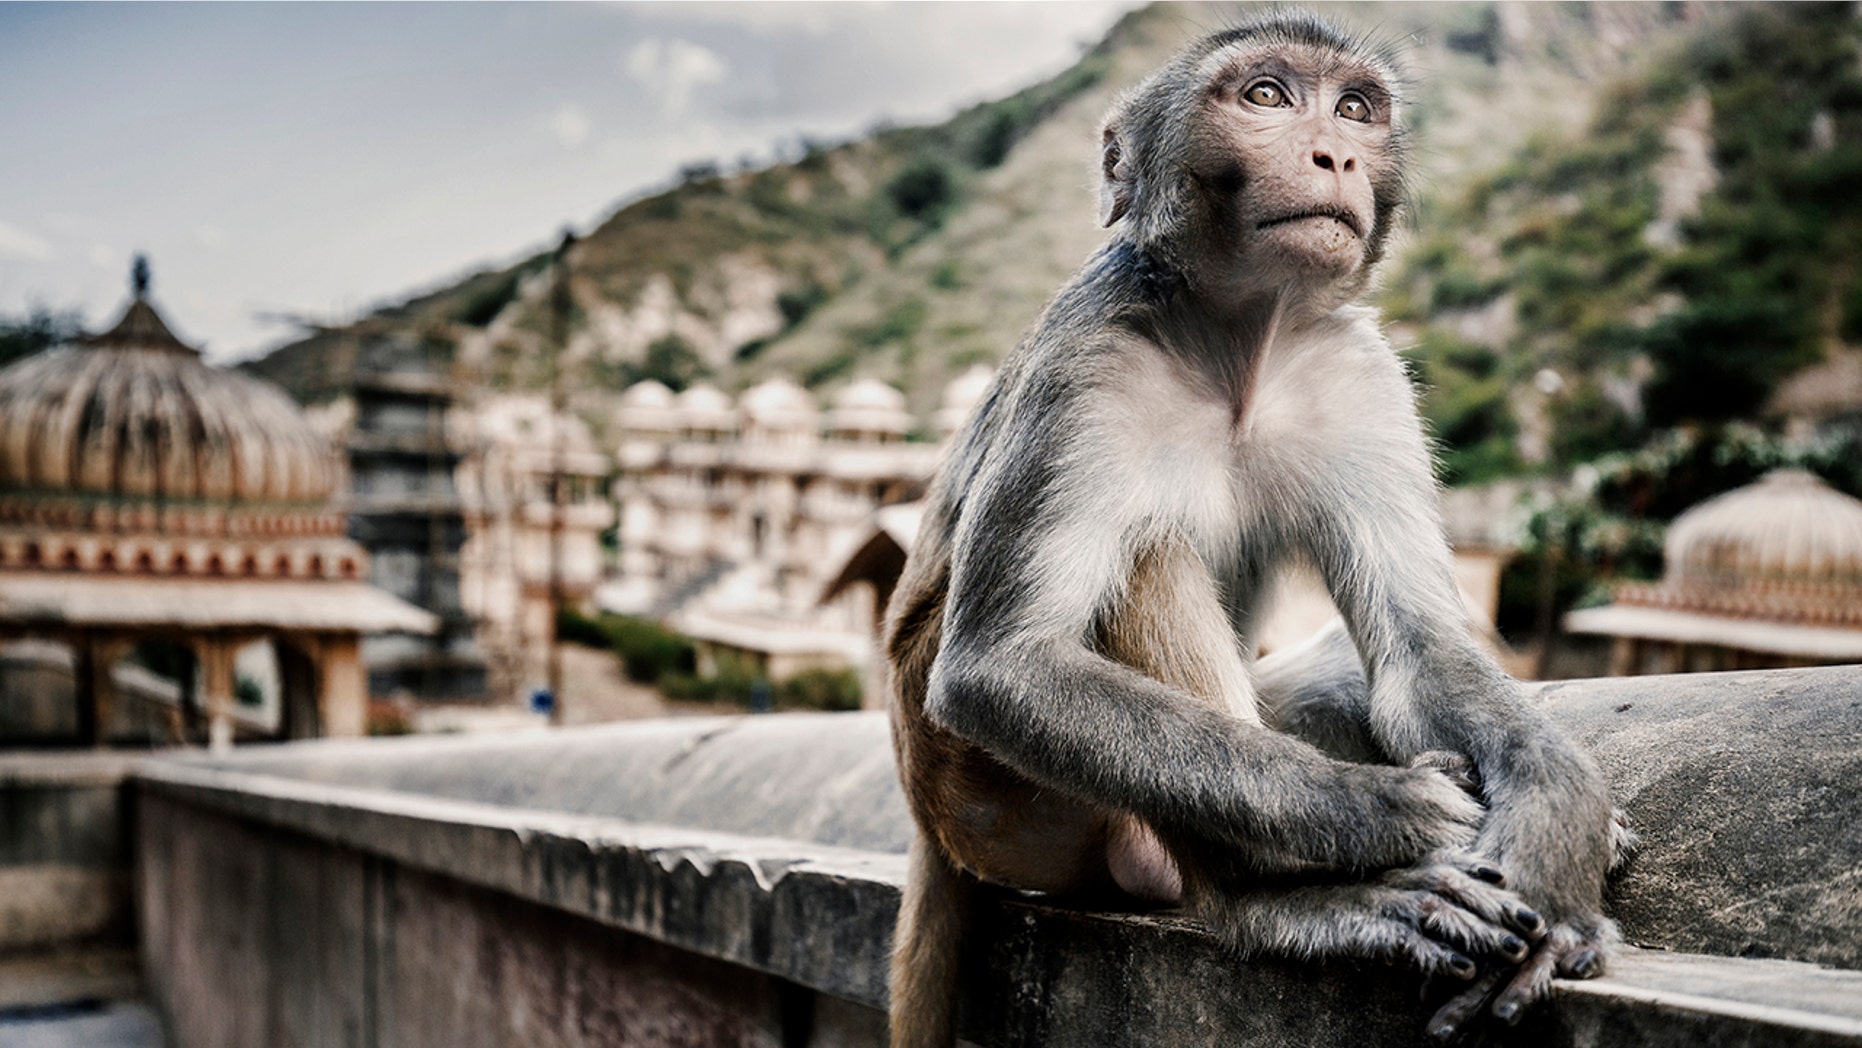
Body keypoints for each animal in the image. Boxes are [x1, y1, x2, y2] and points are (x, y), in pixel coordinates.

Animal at [883, 13, 1623, 1047]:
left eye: (1354, 108)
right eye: (1265, 97)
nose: (1335, 153)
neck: (1236, 339)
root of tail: (925, 823)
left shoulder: (1361, 378)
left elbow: (1423, 650)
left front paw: (1554, 837)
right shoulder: (1085, 366)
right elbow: (1003, 665)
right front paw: (1383, 811)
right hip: (983, 798)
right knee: (1144, 559)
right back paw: (1282, 900)